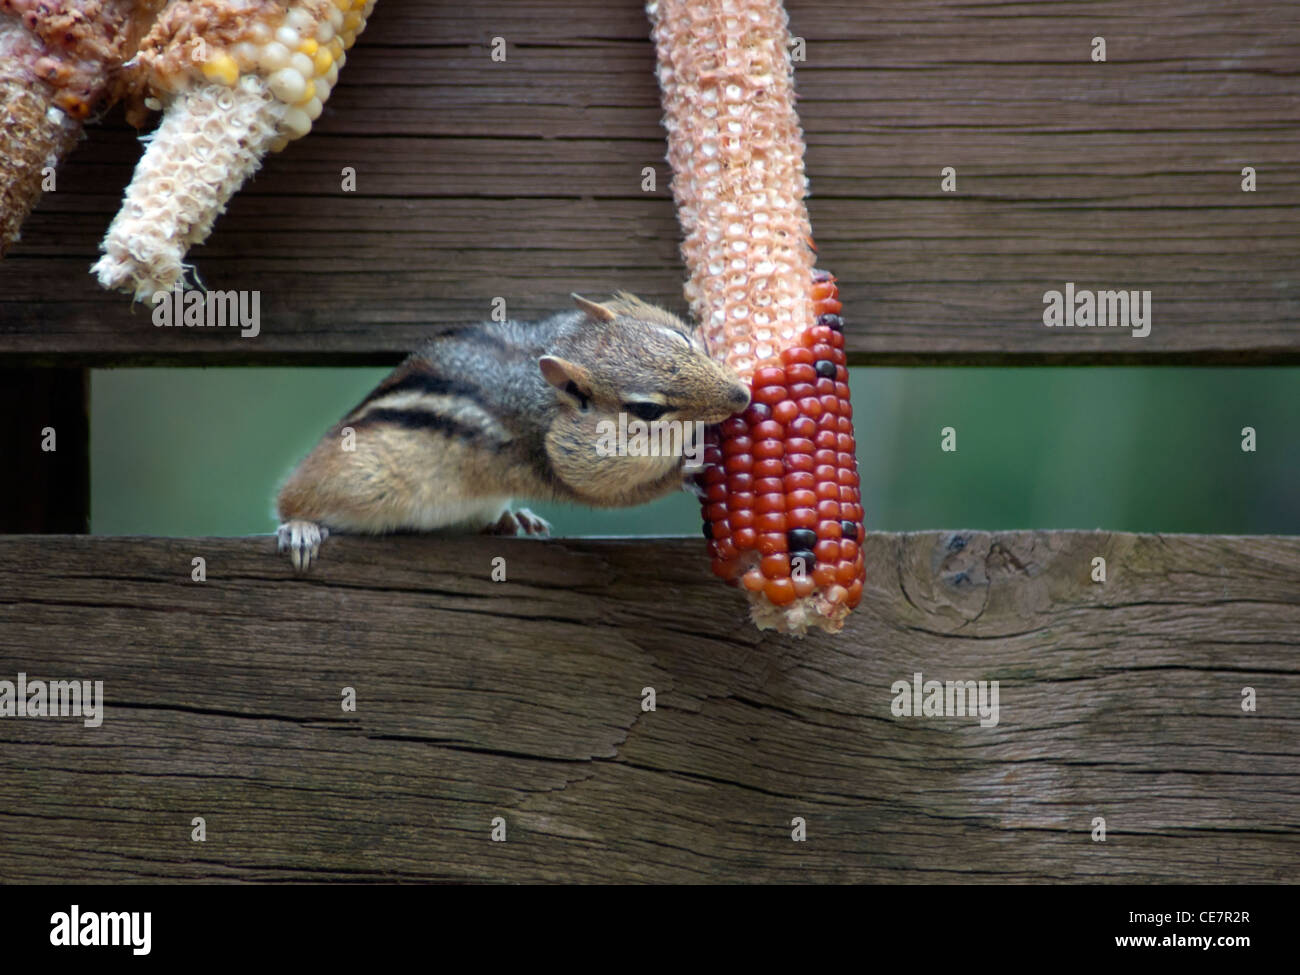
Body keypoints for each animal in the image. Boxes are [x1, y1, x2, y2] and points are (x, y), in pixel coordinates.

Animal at [275, 293, 751, 571]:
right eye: (648, 410)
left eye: (680, 340)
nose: (742, 395)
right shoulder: (570, 471)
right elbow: (626, 494)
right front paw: (688, 468)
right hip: (352, 478)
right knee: (291, 498)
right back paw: (299, 528)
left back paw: (510, 518)